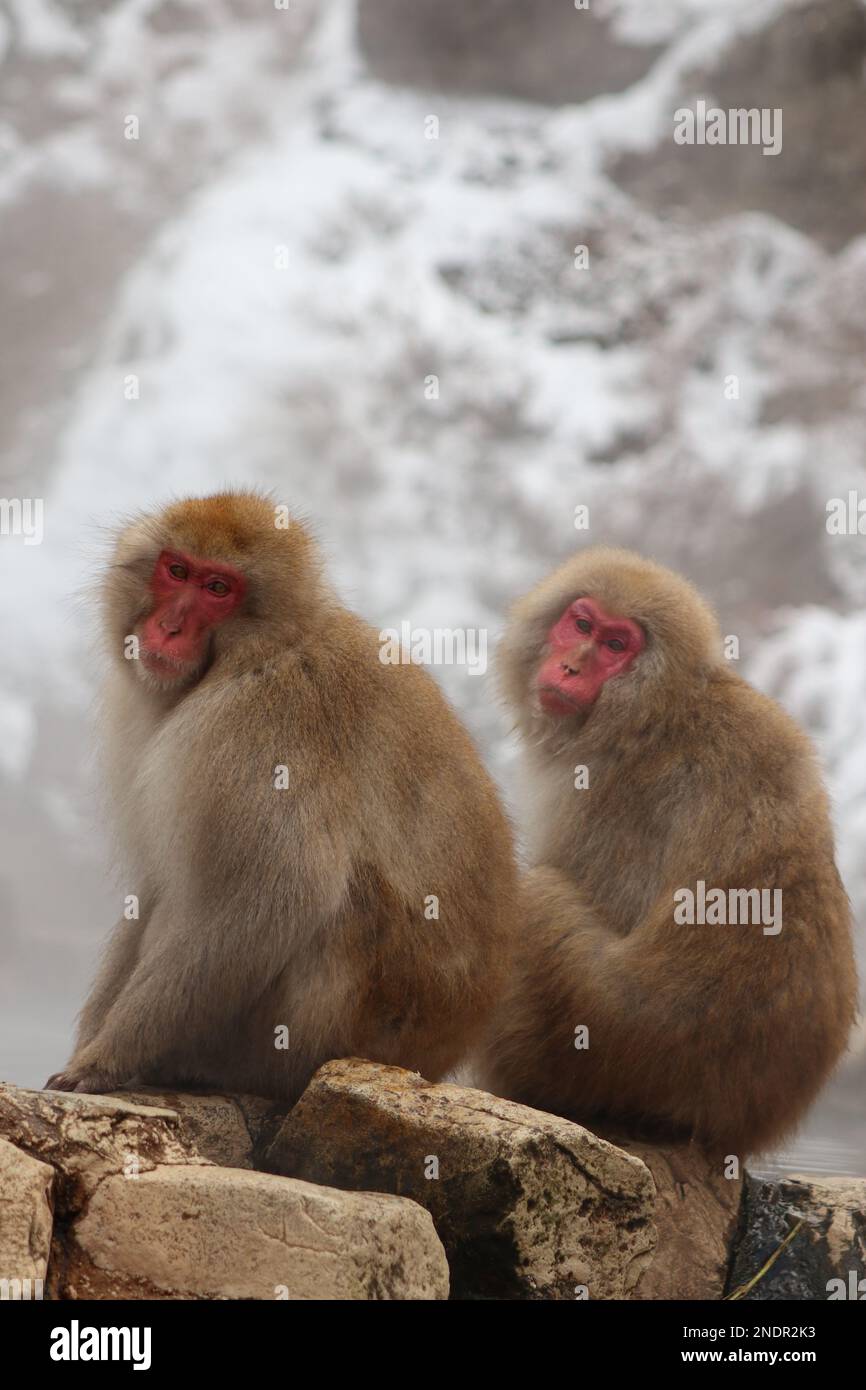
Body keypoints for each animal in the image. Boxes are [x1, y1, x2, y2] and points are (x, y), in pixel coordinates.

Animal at [45, 491, 518, 1102]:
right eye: (177, 571)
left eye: (218, 588)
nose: (168, 627)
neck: (261, 648)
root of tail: (432, 1060)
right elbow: (156, 884)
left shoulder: (260, 721)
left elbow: (280, 890)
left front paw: (106, 1058)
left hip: (332, 1026)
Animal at [481, 547, 858, 1156]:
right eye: (581, 625)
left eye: (616, 645)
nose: (570, 668)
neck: (654, 712)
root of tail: (727, 1124)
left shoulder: (602, 792)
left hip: (595, 1038)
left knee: (535, 899)